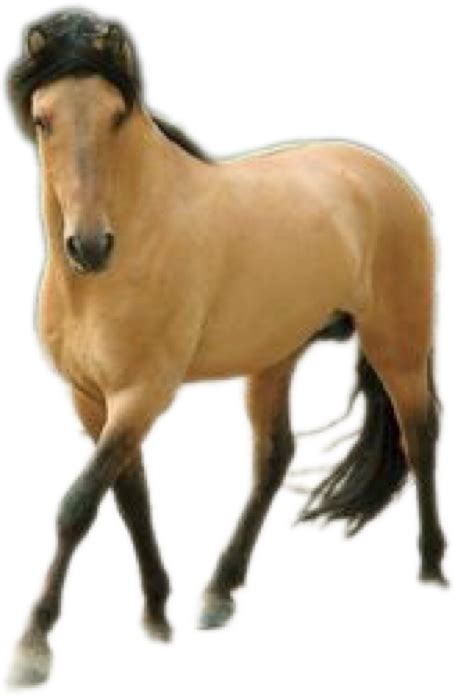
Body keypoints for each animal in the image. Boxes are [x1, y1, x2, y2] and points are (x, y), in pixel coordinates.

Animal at [7, 9, 447, 686]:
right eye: (43, 118)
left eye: (115, 115)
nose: (90, 246)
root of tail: (380, 175)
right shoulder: (92, 400)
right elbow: (130, 500)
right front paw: (157, 614)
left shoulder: (142, 396)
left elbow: (78, 504)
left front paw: (35, 643)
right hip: (276, 357)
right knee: (275, 458)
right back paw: (221, 588)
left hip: (396, 338)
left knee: (417, 435)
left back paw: (428, 572)